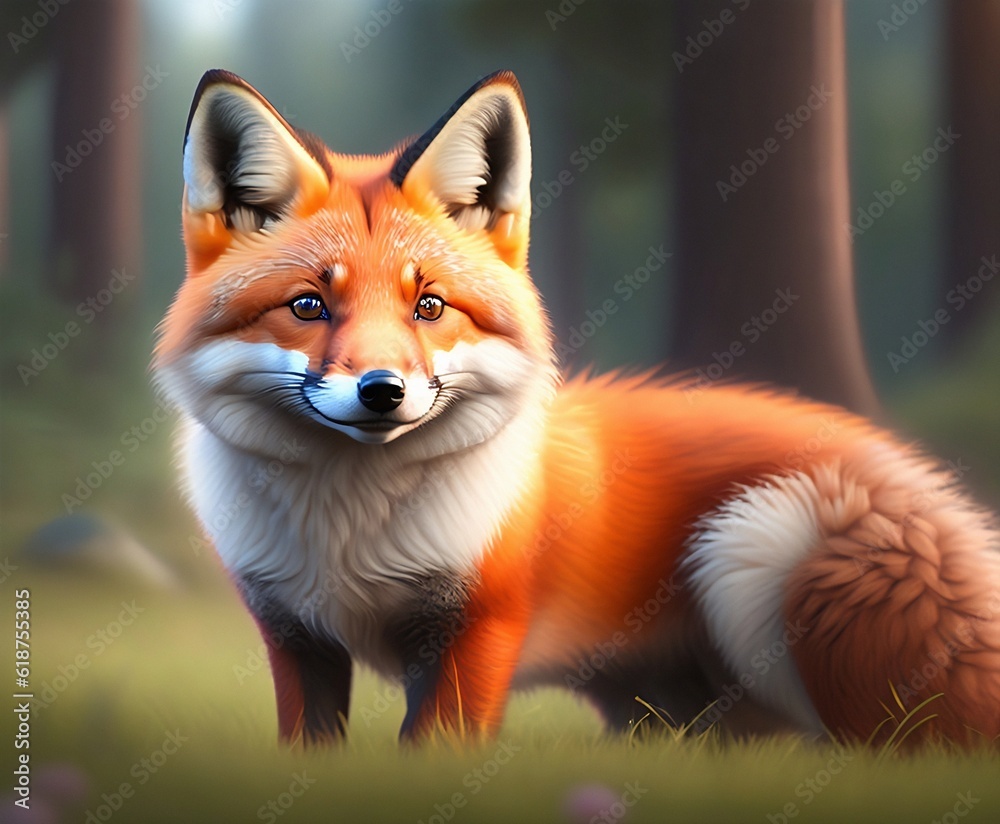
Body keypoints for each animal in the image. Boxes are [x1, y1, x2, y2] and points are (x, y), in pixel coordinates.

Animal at [155, 69, 1000, 748]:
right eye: (308, 306)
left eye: (430, 306)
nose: (383, 391)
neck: (348, 536)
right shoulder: (295, 637)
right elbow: (310, 749)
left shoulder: (476, 630)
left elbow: (431, 750)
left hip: (760, 540)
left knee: (887, 748)